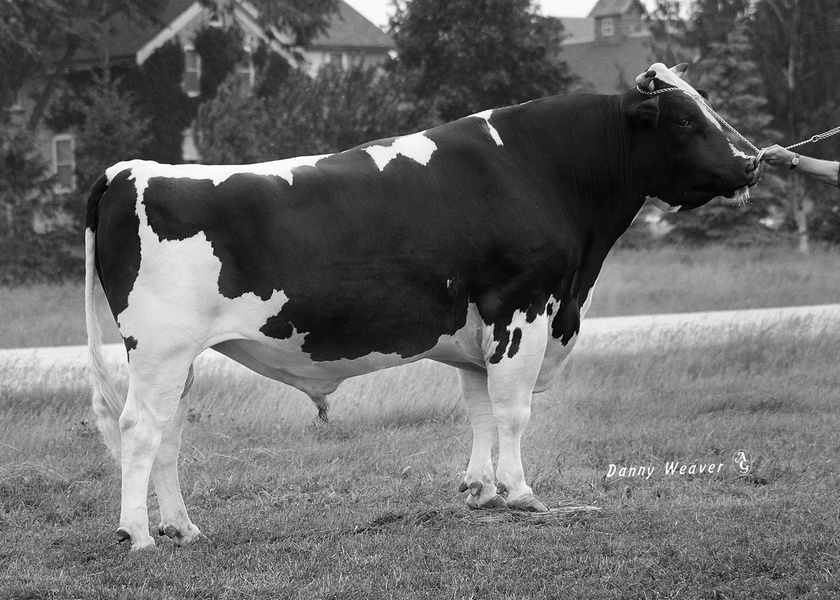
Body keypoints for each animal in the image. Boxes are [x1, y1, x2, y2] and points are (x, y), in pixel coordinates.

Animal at [84, 63, 760, 550]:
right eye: (683, 121)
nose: (751, 161)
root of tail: (130, 169)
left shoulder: (480, 328)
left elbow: (479, 407)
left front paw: (481, 491)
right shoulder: (520, 307)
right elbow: (512, 409)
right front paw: (520, 493)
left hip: (178, 360)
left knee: (168, 432)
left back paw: (182, 528)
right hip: (161, 348)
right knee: (139, 428)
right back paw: (138, 535)